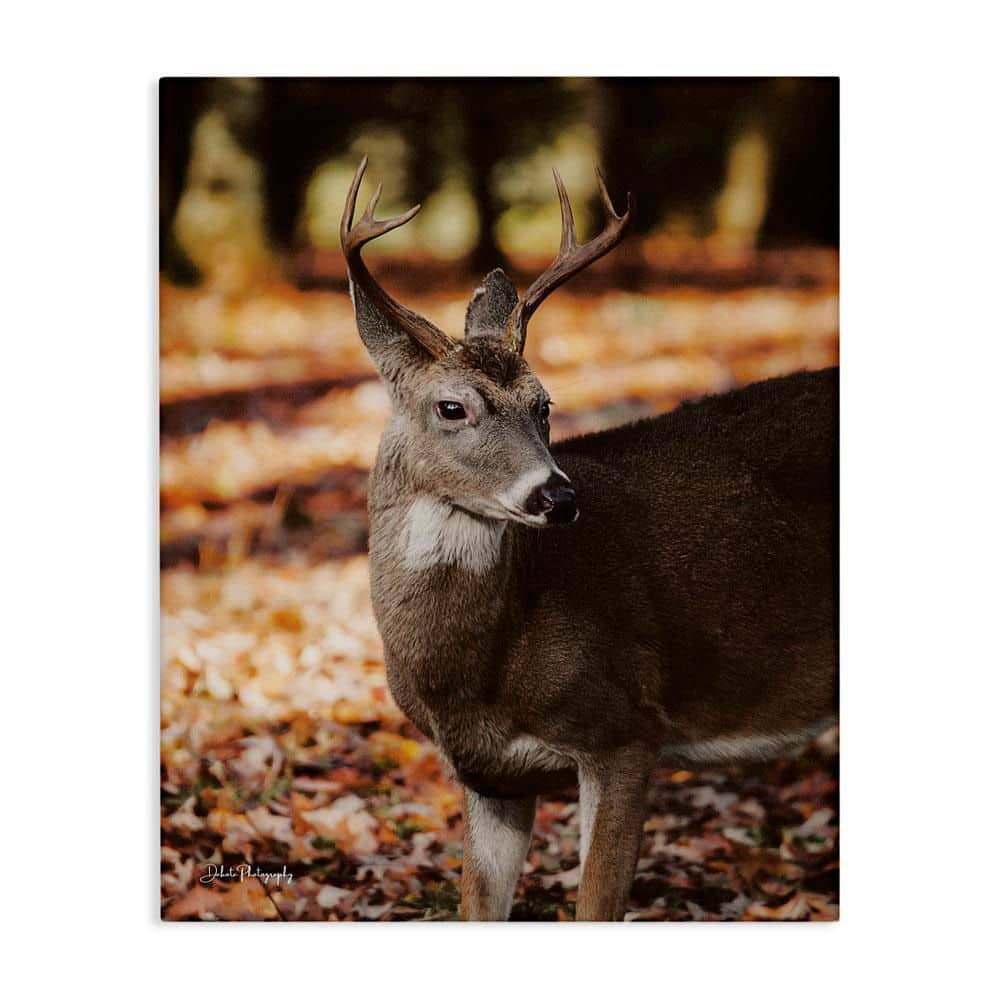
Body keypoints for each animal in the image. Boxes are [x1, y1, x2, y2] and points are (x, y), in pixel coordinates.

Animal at [340, 156, 837, 921]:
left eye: (544, 405)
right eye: (452, 407)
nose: (558, 497)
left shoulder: (627, 727)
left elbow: (596, 906)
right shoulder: (490, 778)